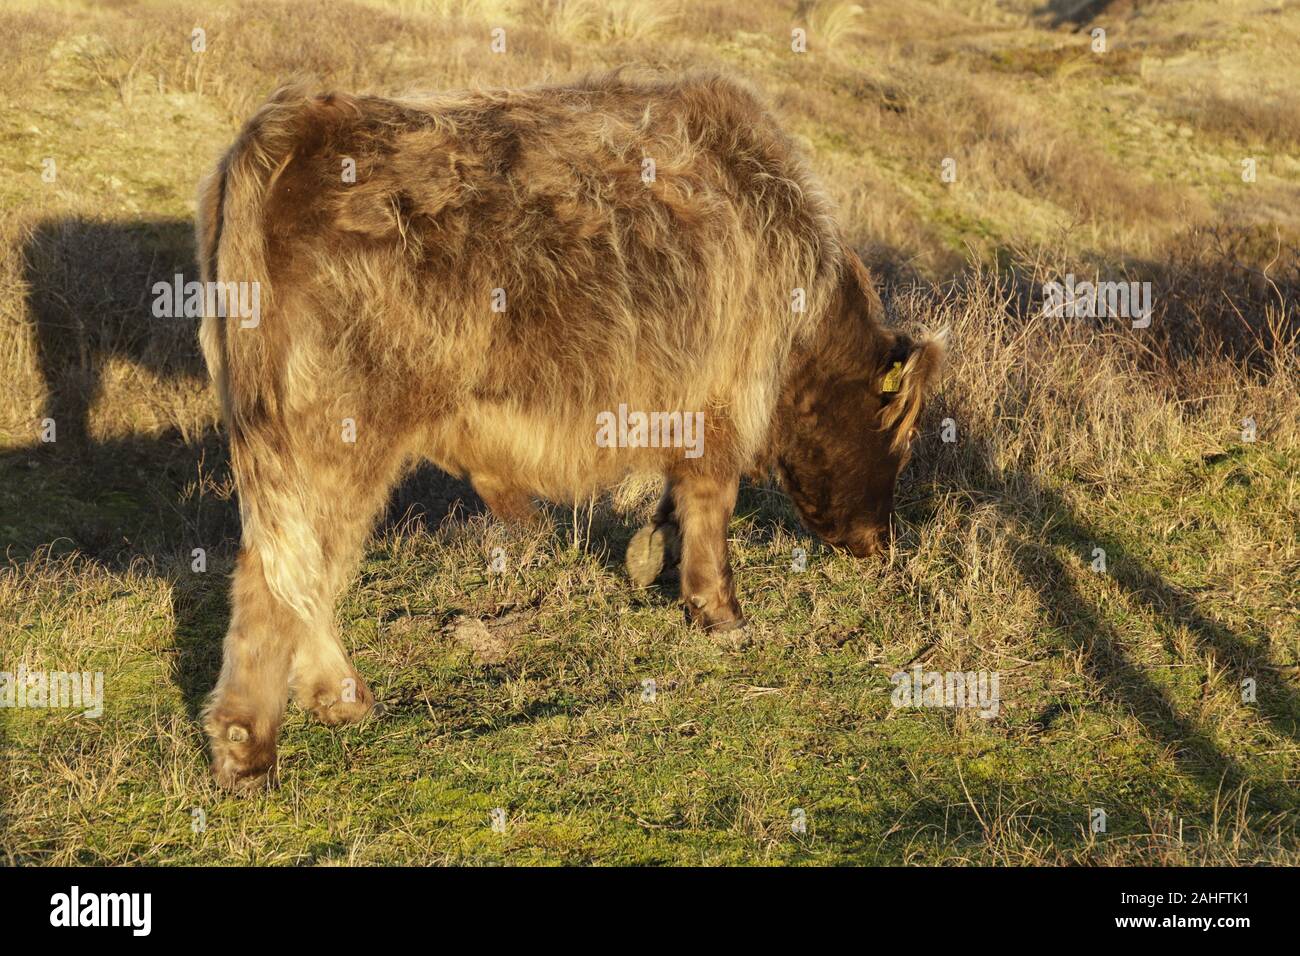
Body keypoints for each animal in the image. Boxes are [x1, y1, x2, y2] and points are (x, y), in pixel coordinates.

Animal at [195, 73, 947, 789]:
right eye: (898, 441)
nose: (878, 544)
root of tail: (287, 126)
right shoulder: (720, 400)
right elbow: (711, 504)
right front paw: (720, 612)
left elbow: (677, 500)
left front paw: (651, 555)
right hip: (336, 433)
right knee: (279, 574)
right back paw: (251, 749)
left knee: (298, 568)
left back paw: (336, 697)